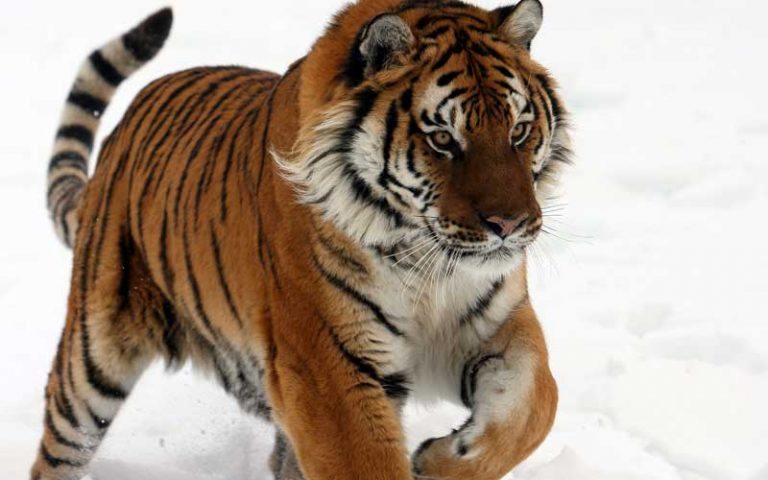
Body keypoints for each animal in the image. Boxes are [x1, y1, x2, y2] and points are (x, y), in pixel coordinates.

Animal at [33, 0, 571, 479]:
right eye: (442, 139)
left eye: (519, 131)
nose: (510, 224)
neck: (426, 261)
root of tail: (123, 130)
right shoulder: (327, 361)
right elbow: (365, 462)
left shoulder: (495, 322)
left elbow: (537, 402)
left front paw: (439, 460)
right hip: (95, 351)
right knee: (59, 448)